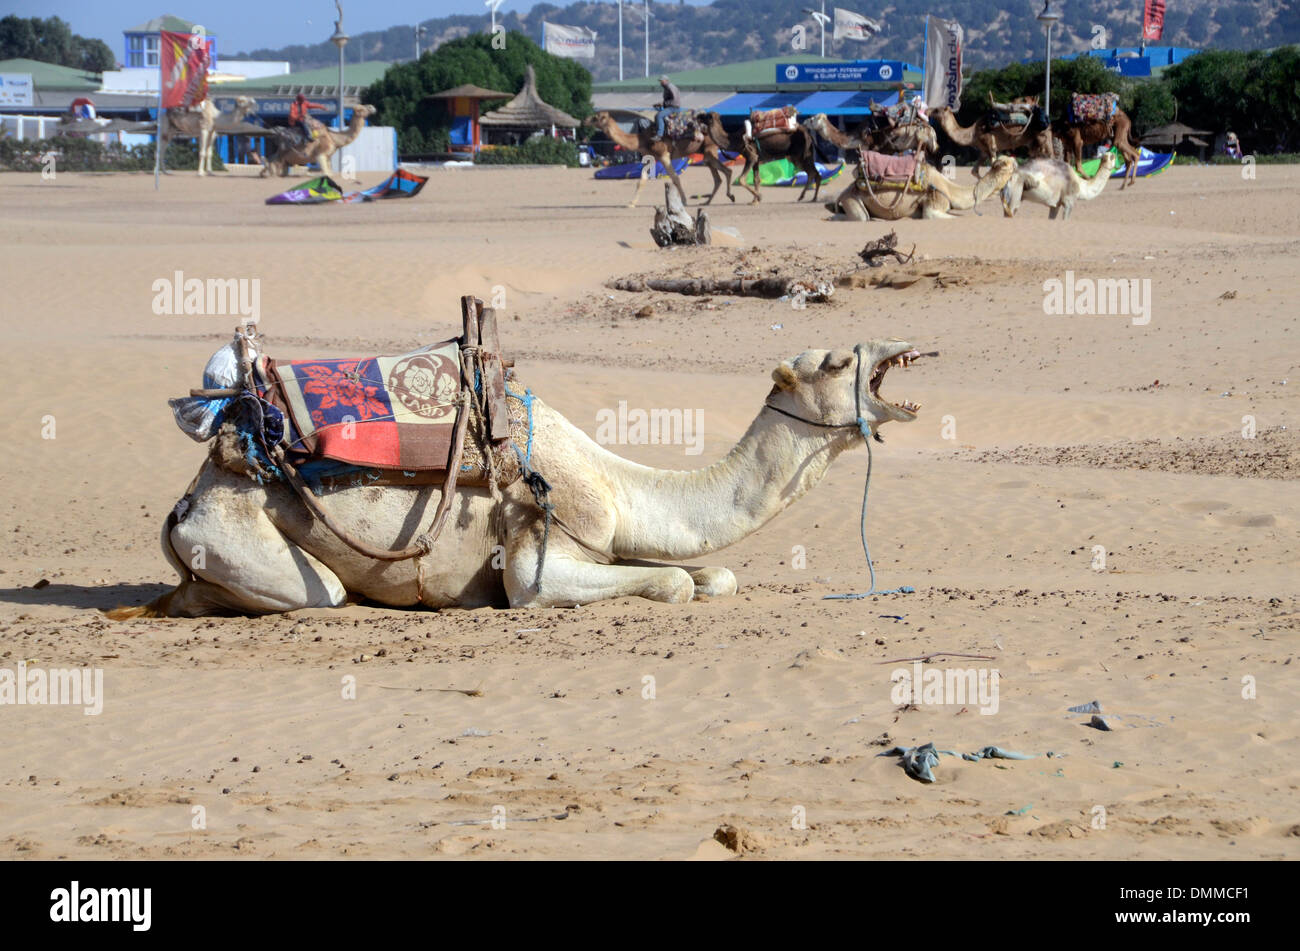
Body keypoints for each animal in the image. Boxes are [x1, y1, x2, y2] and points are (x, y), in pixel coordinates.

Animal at [108, 339, 928, 617]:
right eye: (837, 362)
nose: (902, 350)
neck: (617, 484)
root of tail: (188, 502)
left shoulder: (604, 542)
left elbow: (711, 574)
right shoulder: (539, 560)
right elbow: (674, 583)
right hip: (240, 534)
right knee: (318, 592)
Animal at [585, 111, 736, 207]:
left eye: (595, 117)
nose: (584, 120)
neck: (642, 140)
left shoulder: (664, 155)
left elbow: (675, 178)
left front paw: (684, 201)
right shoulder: (650, 158)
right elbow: (641, 181)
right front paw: (631, 203)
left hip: (710, 149)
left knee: (726, 171)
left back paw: (728, 196)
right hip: (706, 153)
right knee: (719, 176)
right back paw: (708, 201)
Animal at [826, 155, 1017, 221]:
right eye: (1007, 163)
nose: (1015, 161)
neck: (949, 189)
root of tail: (845, 191)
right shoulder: (934, 203)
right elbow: (943, 216)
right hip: (852, 199)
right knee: (860, 217)